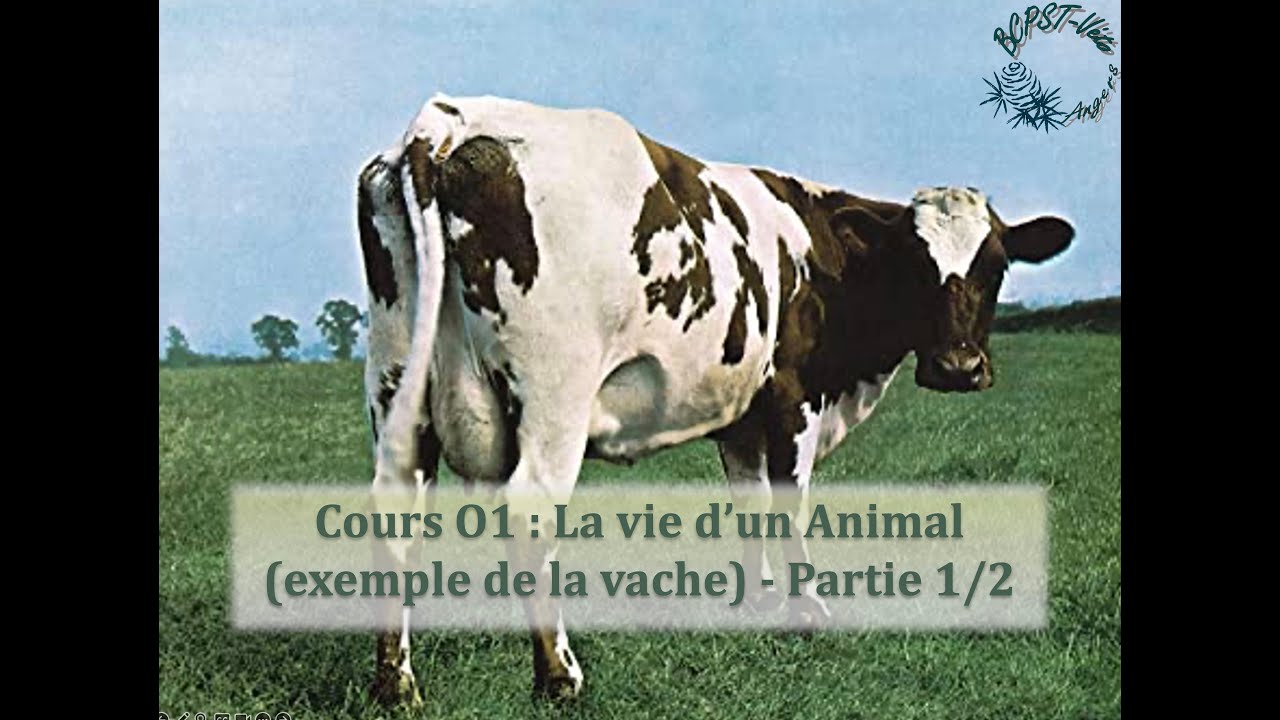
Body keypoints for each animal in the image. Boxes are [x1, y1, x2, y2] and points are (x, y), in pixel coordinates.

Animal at [356, 93, 1073, 704]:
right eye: (917, 265)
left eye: (996, 266)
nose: (959, 367)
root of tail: (449, 121)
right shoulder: (792, 399)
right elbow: (789, 506)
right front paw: (807, 612)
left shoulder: (742, 417)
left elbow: (750, 502)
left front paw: (758, 602)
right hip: (554, 393)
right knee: (531, 508)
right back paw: (559, 675)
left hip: (397, 379)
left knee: (395, 505)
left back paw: (397, 684)